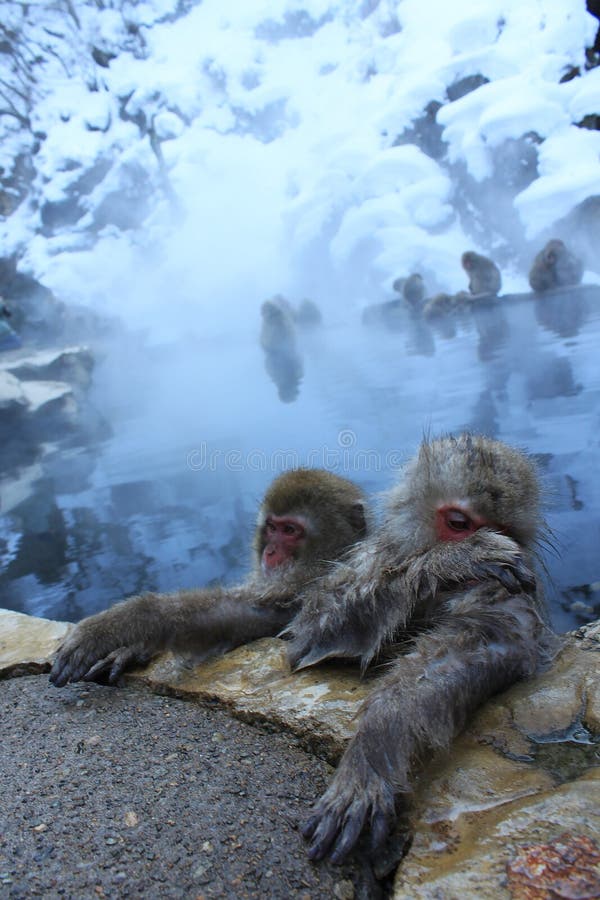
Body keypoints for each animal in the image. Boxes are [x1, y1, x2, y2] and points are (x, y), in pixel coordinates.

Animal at [50, 469, 369, 687]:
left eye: (290, 530)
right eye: (271, 527)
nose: (270, 552)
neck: (324, 558)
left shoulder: (307, 585)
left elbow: (235, 614)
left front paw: (108, 629)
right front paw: (130, 648)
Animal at [283, 434, 557, 866]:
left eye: (502, 529)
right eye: (459, 524)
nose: (471, 542)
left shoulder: (513, 578)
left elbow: (491, 640)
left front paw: (375, 744)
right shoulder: (380, 553)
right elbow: (315, 628)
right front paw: (454, 560)